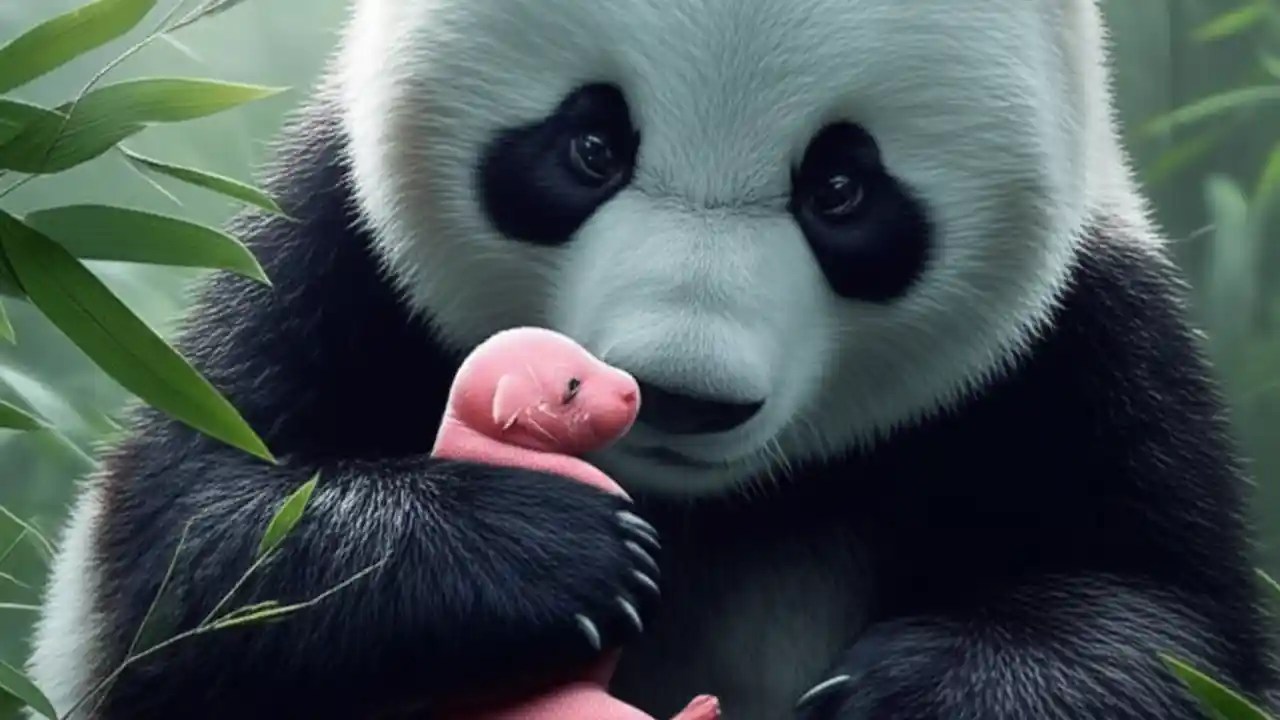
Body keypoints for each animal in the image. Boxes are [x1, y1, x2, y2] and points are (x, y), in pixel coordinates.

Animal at [22, 0, 1280, 718]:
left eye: (840, 187)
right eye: (590, 145)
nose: (672, 394)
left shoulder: (1082, 347)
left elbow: (1161, 624)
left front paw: (903, 687)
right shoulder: (337, 254)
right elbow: (187, 551)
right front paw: (554, 556)